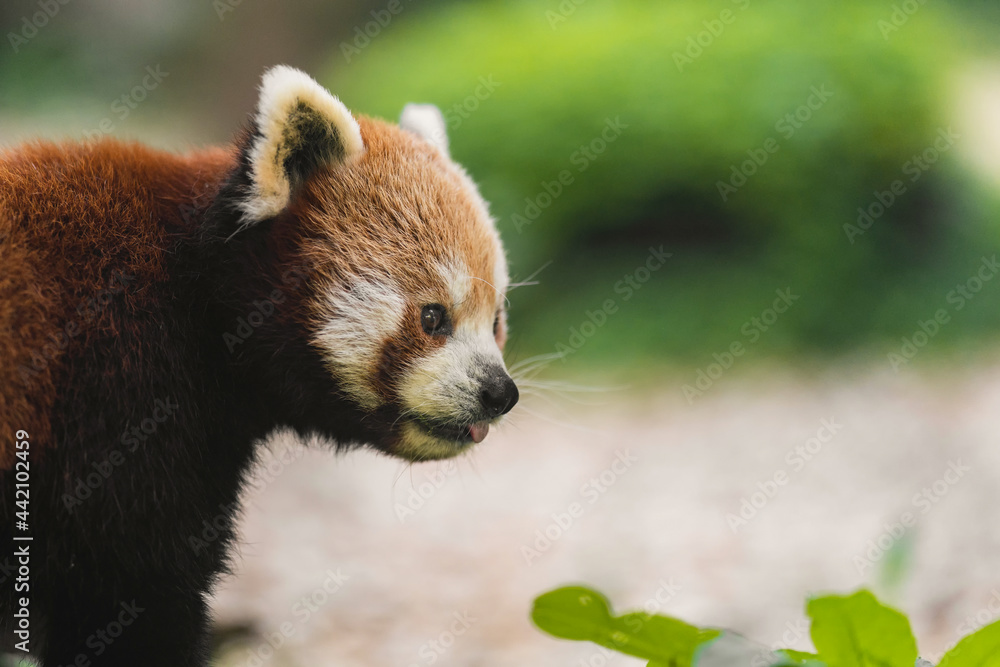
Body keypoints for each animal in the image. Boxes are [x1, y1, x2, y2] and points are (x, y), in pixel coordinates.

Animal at [0, 65, 519, 666]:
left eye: (497, 320)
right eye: (433, 317)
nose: (500, 393)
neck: (198, 293)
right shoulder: (116, 402)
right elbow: (129, 595)